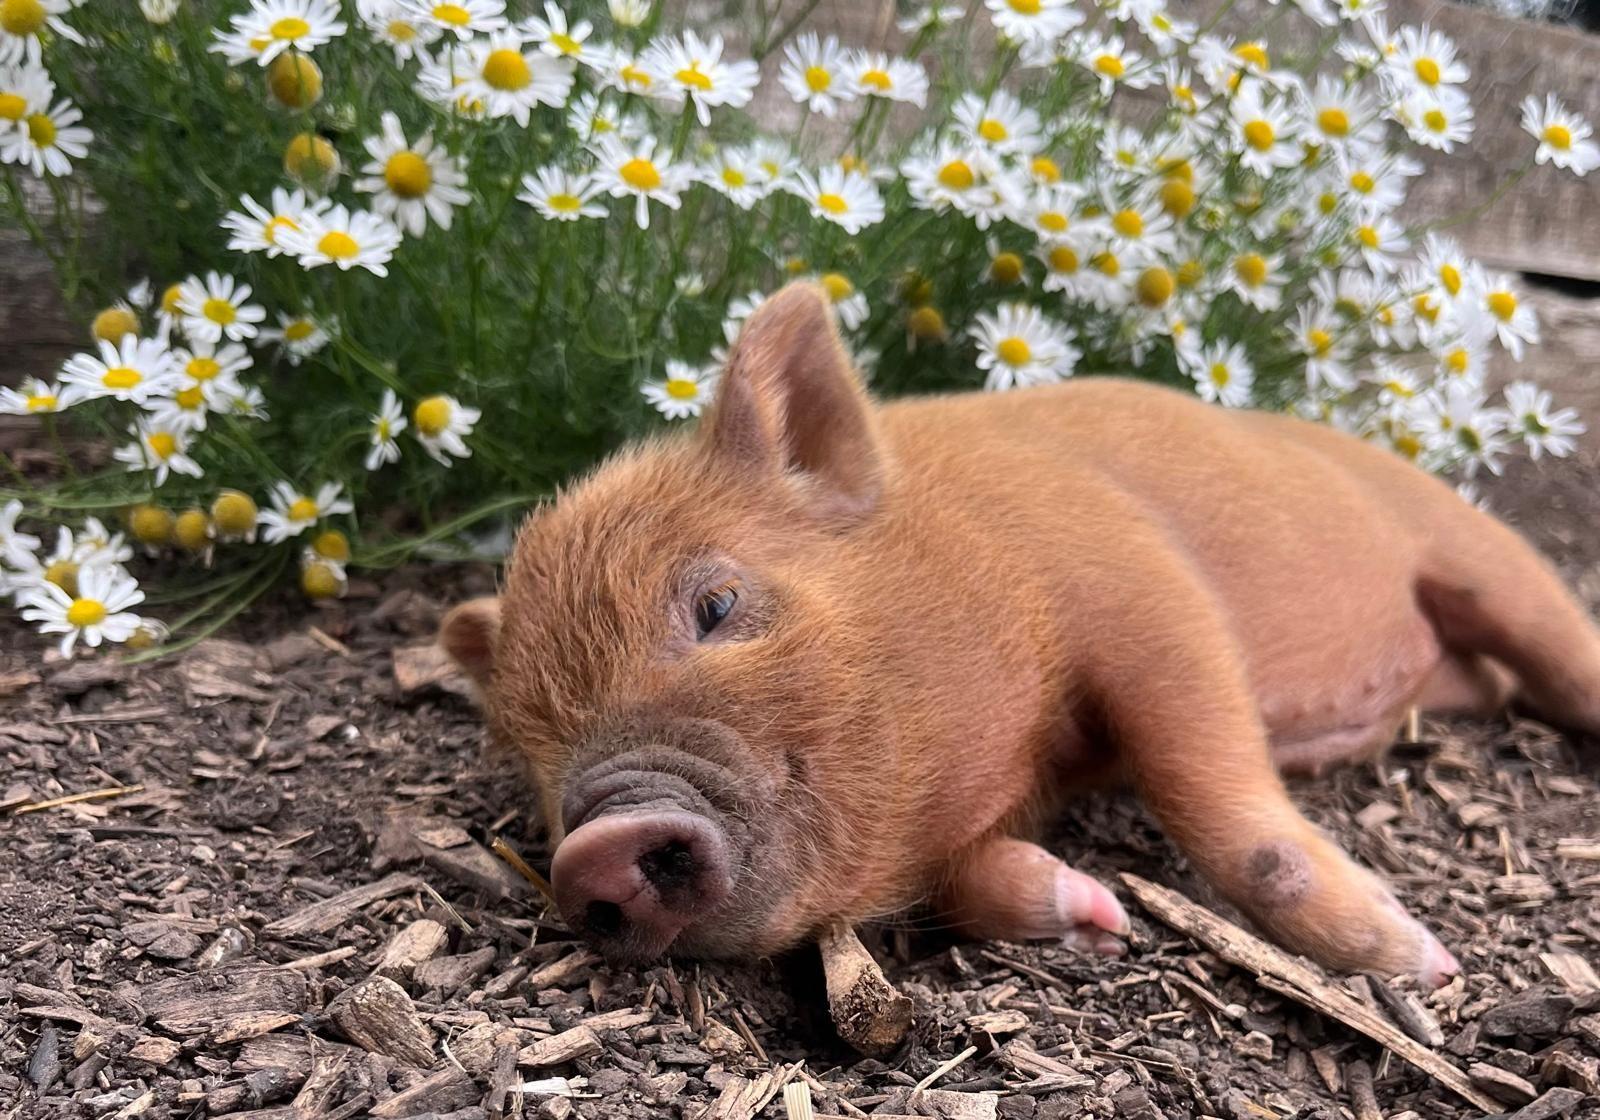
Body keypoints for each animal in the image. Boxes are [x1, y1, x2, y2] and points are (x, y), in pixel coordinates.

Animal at [440, 282, 1600, 985]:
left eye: (715, 605)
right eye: (529, 746)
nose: (595, 847)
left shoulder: (1143, 587)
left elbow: (1206, 780)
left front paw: (1418, 960)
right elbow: (970, 880)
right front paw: (1097, 912)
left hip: (1477, 549)